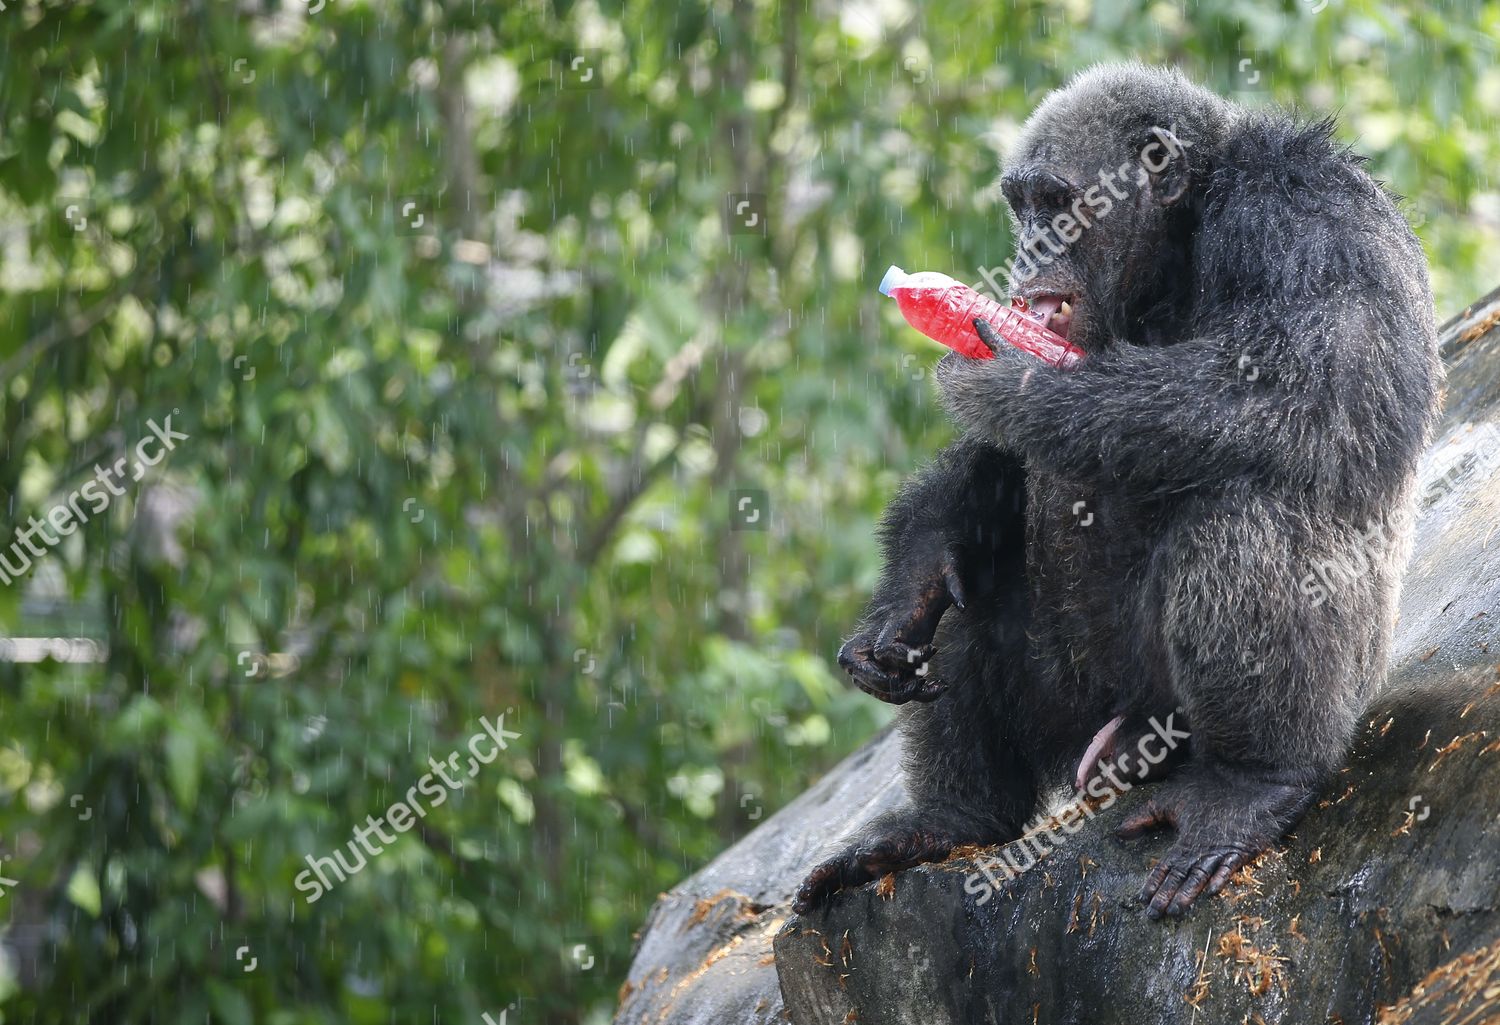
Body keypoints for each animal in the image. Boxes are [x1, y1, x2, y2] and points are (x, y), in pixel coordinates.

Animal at [794, 63, 1441, 919]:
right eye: (1022, 204)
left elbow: (1314, 381)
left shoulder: (1311, 213)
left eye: (1058, 201)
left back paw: (1251, 782)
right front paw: (907, 585)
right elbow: (991, 476)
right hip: (1065, 713)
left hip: (1209, 713)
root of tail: (1118, 744)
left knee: (1249, 509)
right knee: (979, 575)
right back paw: (948, 818)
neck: (1178, 239)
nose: (1030, 246)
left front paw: (1013, 378)